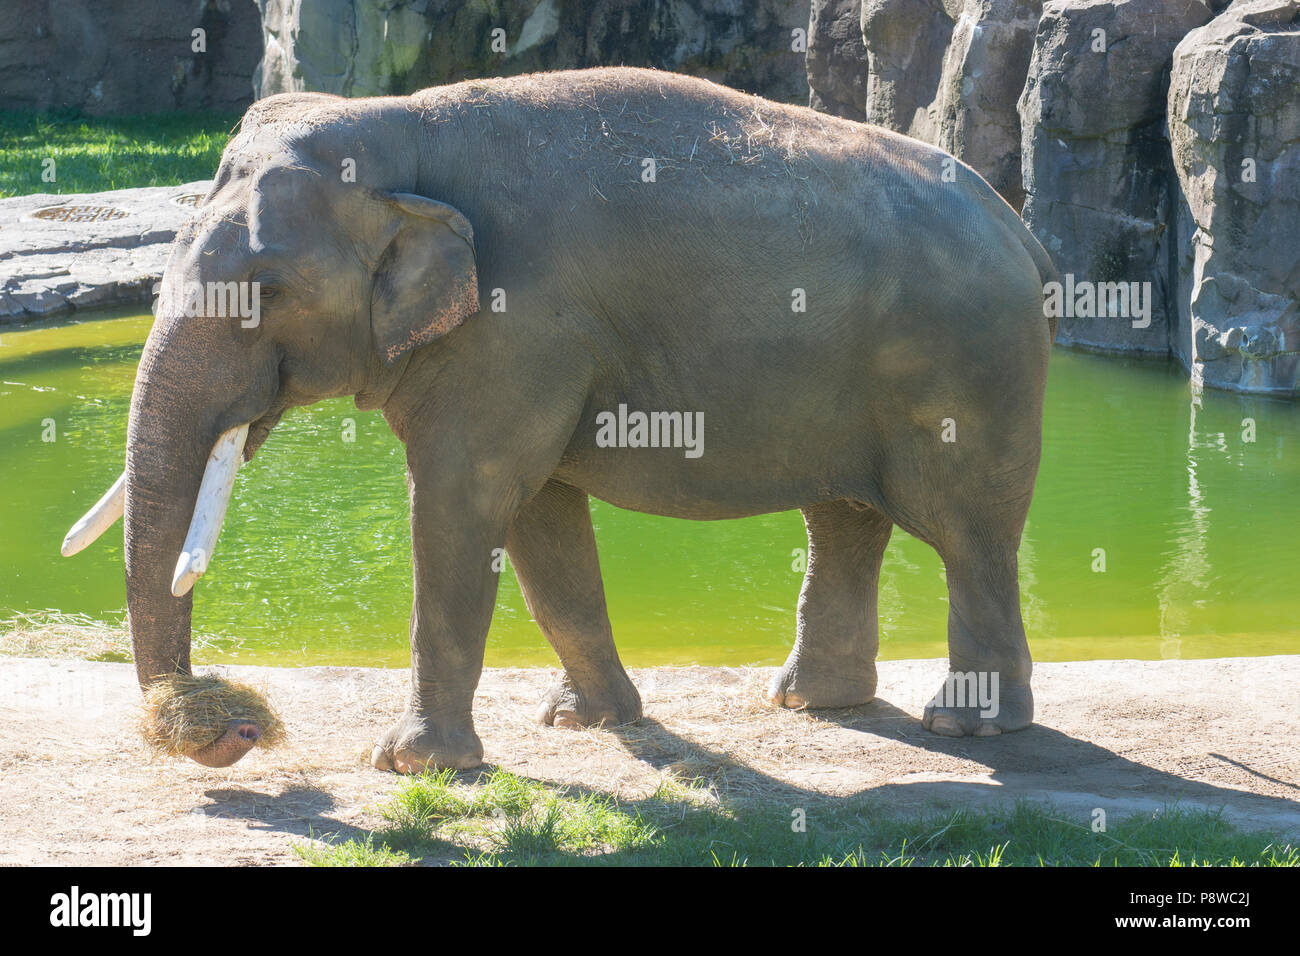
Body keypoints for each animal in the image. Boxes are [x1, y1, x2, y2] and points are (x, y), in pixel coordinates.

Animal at [62, 67, 1058, 772]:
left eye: (266, 291)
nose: (230, 726)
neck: (397, 125)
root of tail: (1023, 229)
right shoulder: (520, 350)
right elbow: (538, 521)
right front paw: (582, 722)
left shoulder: (517, 327)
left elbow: (463, 508)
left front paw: (410, 766)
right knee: (845, 520)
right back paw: (814, 705)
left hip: (971, 369)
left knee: (967, 534)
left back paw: (968, 729)